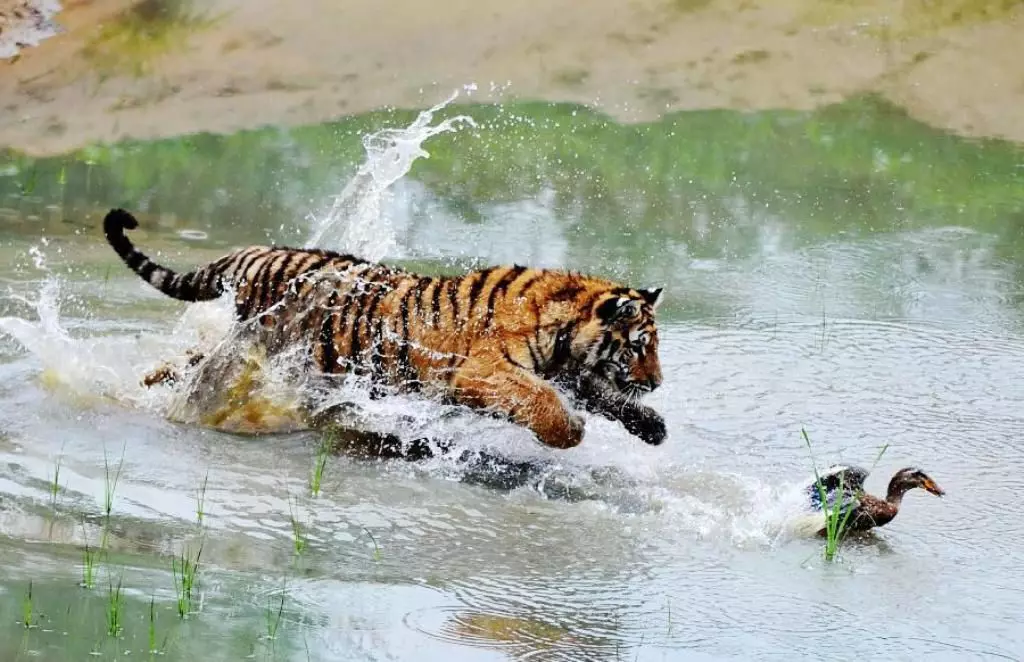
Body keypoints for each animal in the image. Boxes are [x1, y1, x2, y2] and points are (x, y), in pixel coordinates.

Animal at [99, 209, 667, 450]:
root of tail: (259, 252)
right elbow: (541, 399)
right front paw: (571, 432)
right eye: (640, 347)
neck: (563, 334)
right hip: (265, 351)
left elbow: (607, 394)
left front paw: (653, 426)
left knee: (183, 364)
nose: (658, 381)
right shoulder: (483, 371)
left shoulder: (572, 371)